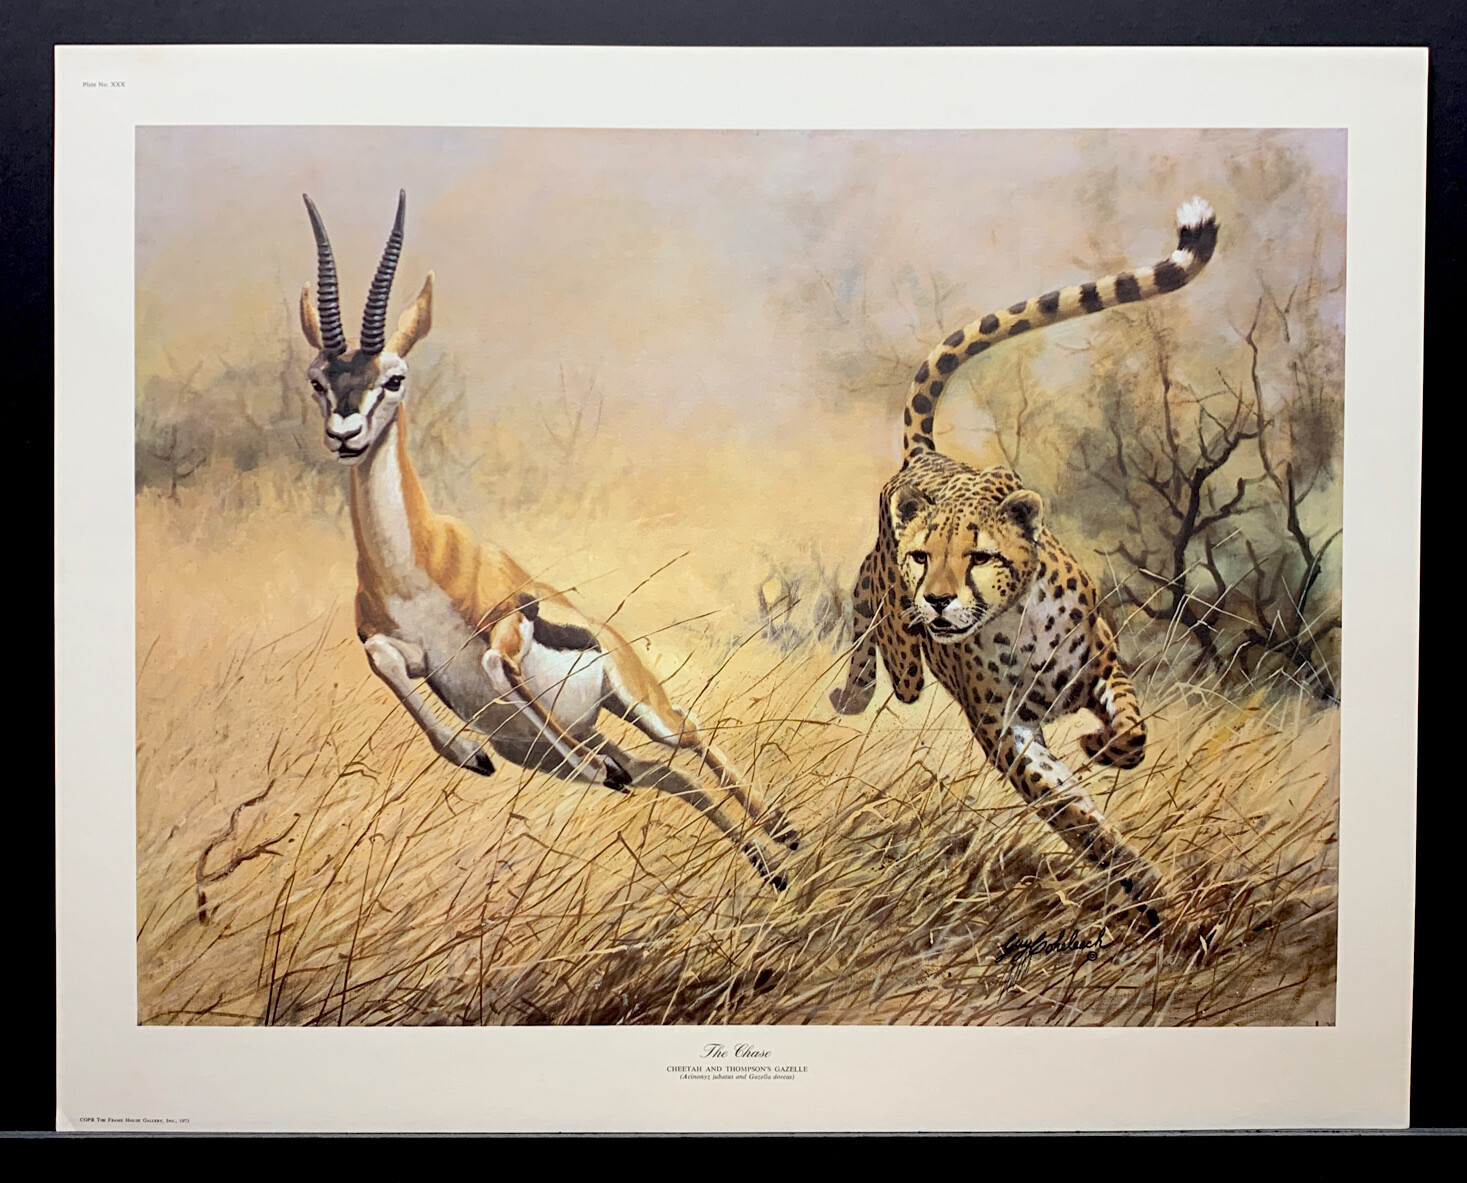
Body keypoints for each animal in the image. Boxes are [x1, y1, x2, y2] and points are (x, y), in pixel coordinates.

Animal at [298, 191, 797, 889]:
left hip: (635, 705)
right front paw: (469, 753)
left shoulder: (505, 626)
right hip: (561, 746)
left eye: (393, 377)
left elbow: (492, 661)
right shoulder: (398, 651)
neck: (416, 564)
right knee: (663, 775)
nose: (344, 434)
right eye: (318, 378)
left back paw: (786, 832)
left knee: (688, 735)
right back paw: (770, 866)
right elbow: (386, 662)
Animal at [830, 198, 1220, 930]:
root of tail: (928, 456)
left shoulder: (1100, 661)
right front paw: (1145, 889)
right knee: (875, 623)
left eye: (980, 556)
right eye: (923, 557)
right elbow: (1074, 813)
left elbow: (1132, 726)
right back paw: (858, 685)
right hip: (896, 637)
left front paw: (1107, 748)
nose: (936, 600)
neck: (1014, 622)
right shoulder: (1005, 730)